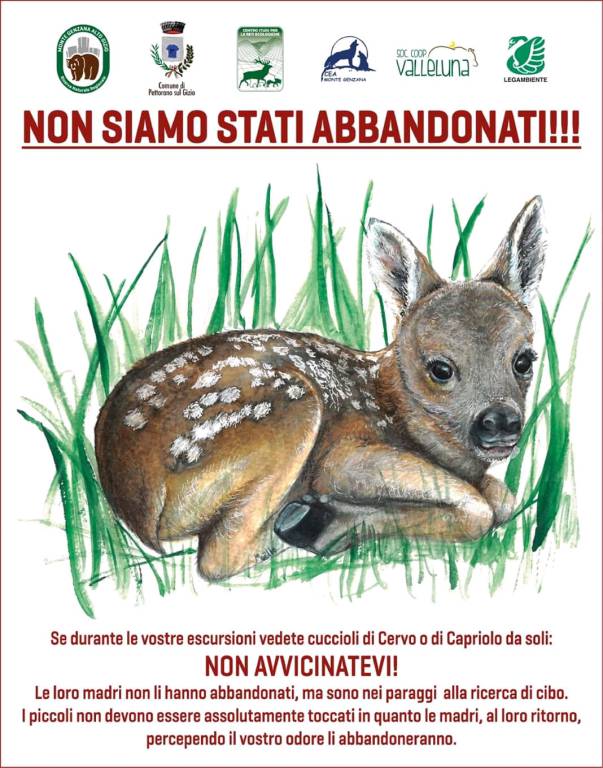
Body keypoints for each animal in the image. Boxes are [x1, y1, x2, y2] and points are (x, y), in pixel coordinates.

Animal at [95, 197, 545, 581]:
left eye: (525, 360)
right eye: (440, 368)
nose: (500, 421)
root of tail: (132, 500)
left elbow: (504, 500)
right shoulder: (341, 455)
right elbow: (480, 508)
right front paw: (322, 520)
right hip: (288, 412)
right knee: (219, 558)